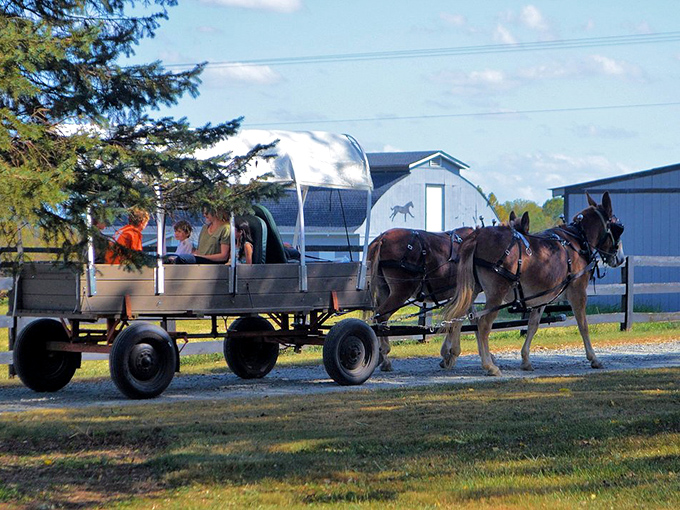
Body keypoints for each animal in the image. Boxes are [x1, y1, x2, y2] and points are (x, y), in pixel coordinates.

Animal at [442, 192, 625, 376]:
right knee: (483, 325)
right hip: (496, 293)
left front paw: (526, 360)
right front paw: (594, 358)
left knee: (458, 318)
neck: (577, 242)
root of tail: (477, 236)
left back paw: (453, 353)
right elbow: (583, 325)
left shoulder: (543, 296)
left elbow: (533, 325)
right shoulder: (578, 292)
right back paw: (489, 365)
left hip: (472, 289)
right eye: (619, 228)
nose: (621, 258)